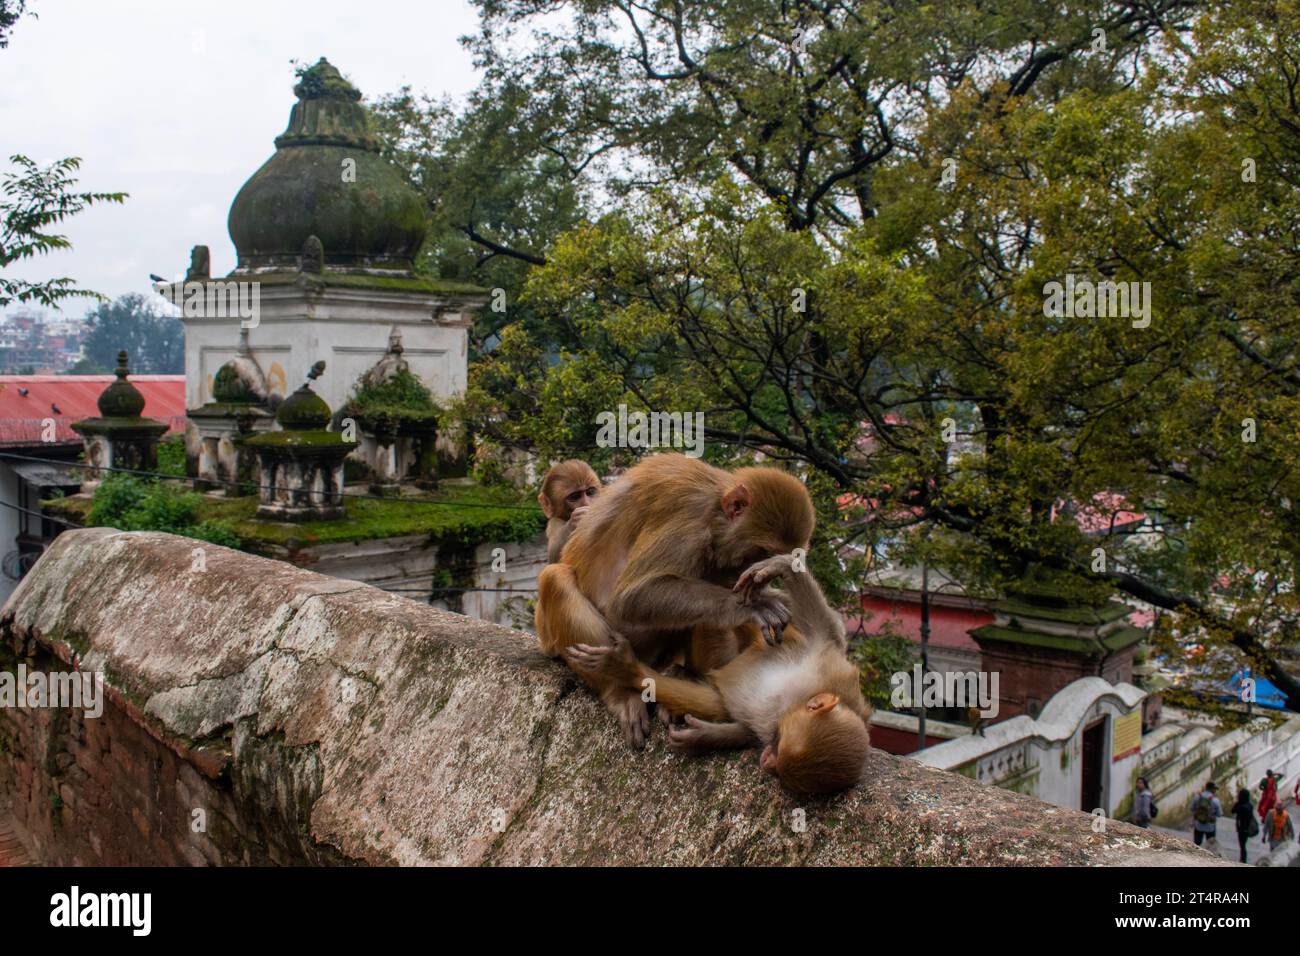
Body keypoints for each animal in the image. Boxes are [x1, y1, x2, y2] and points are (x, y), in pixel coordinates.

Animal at [535, 453, 815, 748]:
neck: (715, 510)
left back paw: (683, 679)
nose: (759, 578)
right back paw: (619, 690)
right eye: (761, 552)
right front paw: (755, 606)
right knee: (555, 578)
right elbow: (631, 596)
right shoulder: (688, 518)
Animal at [567, 551, 872, 795]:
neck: (796, 700)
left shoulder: (767, 723)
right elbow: (826, 632)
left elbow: (725, 710)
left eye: (779, 765)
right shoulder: (828, 669)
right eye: (780, 744)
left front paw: (703, 737)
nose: (767, 762)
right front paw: (783, 565)